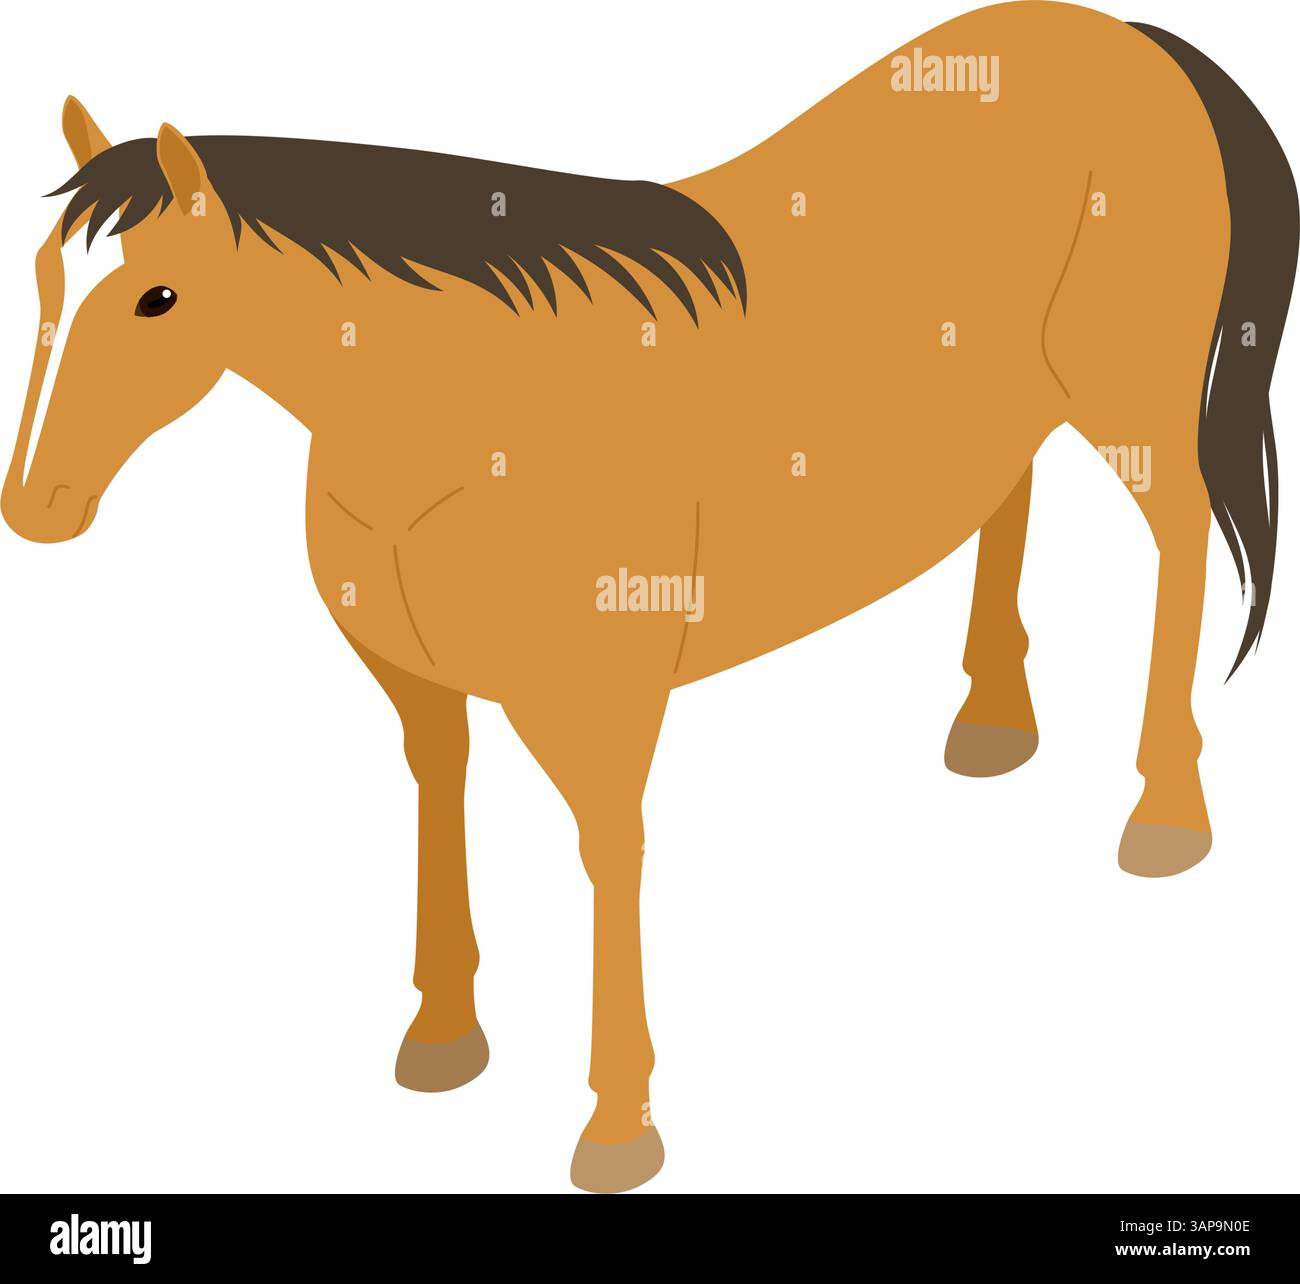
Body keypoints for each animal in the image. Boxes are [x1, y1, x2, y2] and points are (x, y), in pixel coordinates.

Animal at [5, 1, 1295, 1192]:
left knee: (1181, 544)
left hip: (1130, 399)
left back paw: (1165, 812)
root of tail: (1127, 35)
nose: (33, 504)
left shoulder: (602, 704)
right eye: (41, 278)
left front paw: (618, 1126)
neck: (458, 413)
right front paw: (442, 1039)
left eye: (158, 298)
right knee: (1004, 490)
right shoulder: (418, 684)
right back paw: (989, 722)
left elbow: (608, 852)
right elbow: (439, 799)